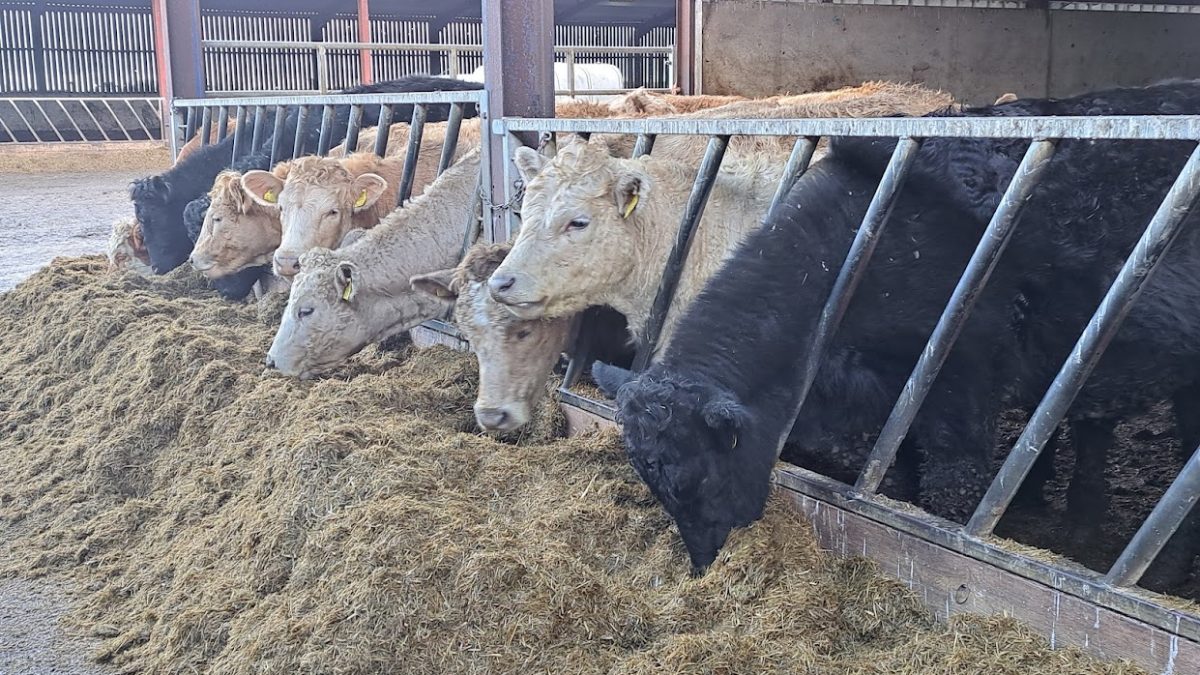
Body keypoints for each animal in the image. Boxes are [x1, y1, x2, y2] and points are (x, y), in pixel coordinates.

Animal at [614, 80, 1200, 577]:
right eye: (651, 479)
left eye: (695, 477)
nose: (702, 562)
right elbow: (894, 472)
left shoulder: (963, 376)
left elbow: (950, 485)